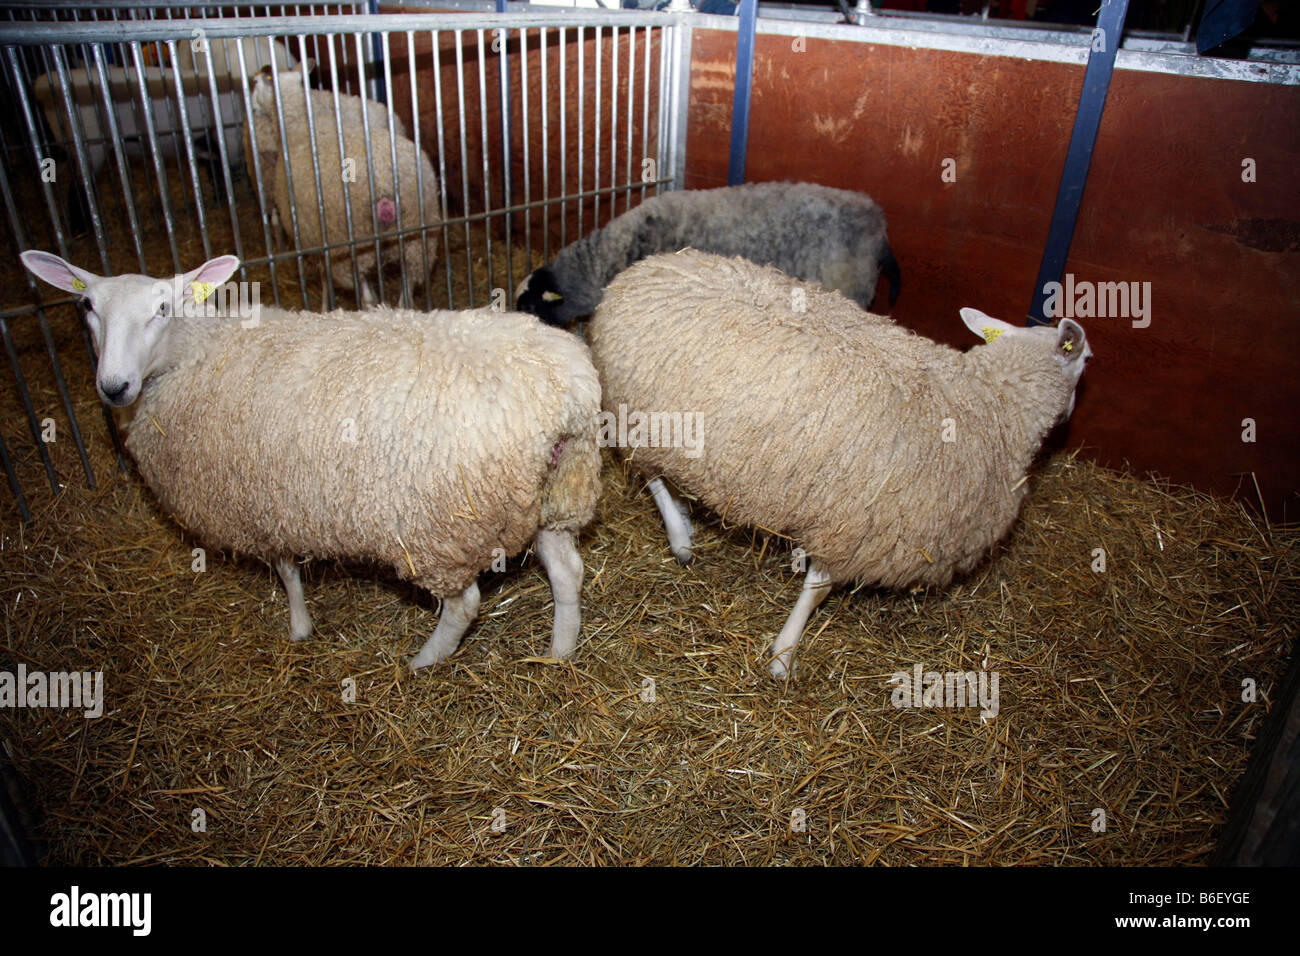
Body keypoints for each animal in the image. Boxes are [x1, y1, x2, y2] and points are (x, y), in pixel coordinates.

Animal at [20, 249, 602, 670]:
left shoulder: (259, 502)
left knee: (464, 606)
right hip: (558, 495)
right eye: (88, 308)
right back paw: (559, 652)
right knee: (567, 572)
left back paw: (422, 662)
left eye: (162, 309)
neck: (195, 353)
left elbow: (285, 570)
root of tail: (564, 395)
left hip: (440, 528)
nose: (113, 386)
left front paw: (299, 627)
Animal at [244, 69, 439, 309]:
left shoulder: (316, 238)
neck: (298, 122)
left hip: (352, 244)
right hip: (417, 237)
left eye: (255, 82)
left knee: (365, 294)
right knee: (408, 284)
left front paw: (324, 306)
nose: (252, 109)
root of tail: (384, 178)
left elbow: (324, 276)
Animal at [588, 250, 1091, 678]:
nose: (1072, 413)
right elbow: (817, 589)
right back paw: (680, 539)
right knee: (649, 474)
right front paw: (784, 655)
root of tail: (638, 272)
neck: (990, 404)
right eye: (1086, 359)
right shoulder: (855, 522)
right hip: (642, 417)